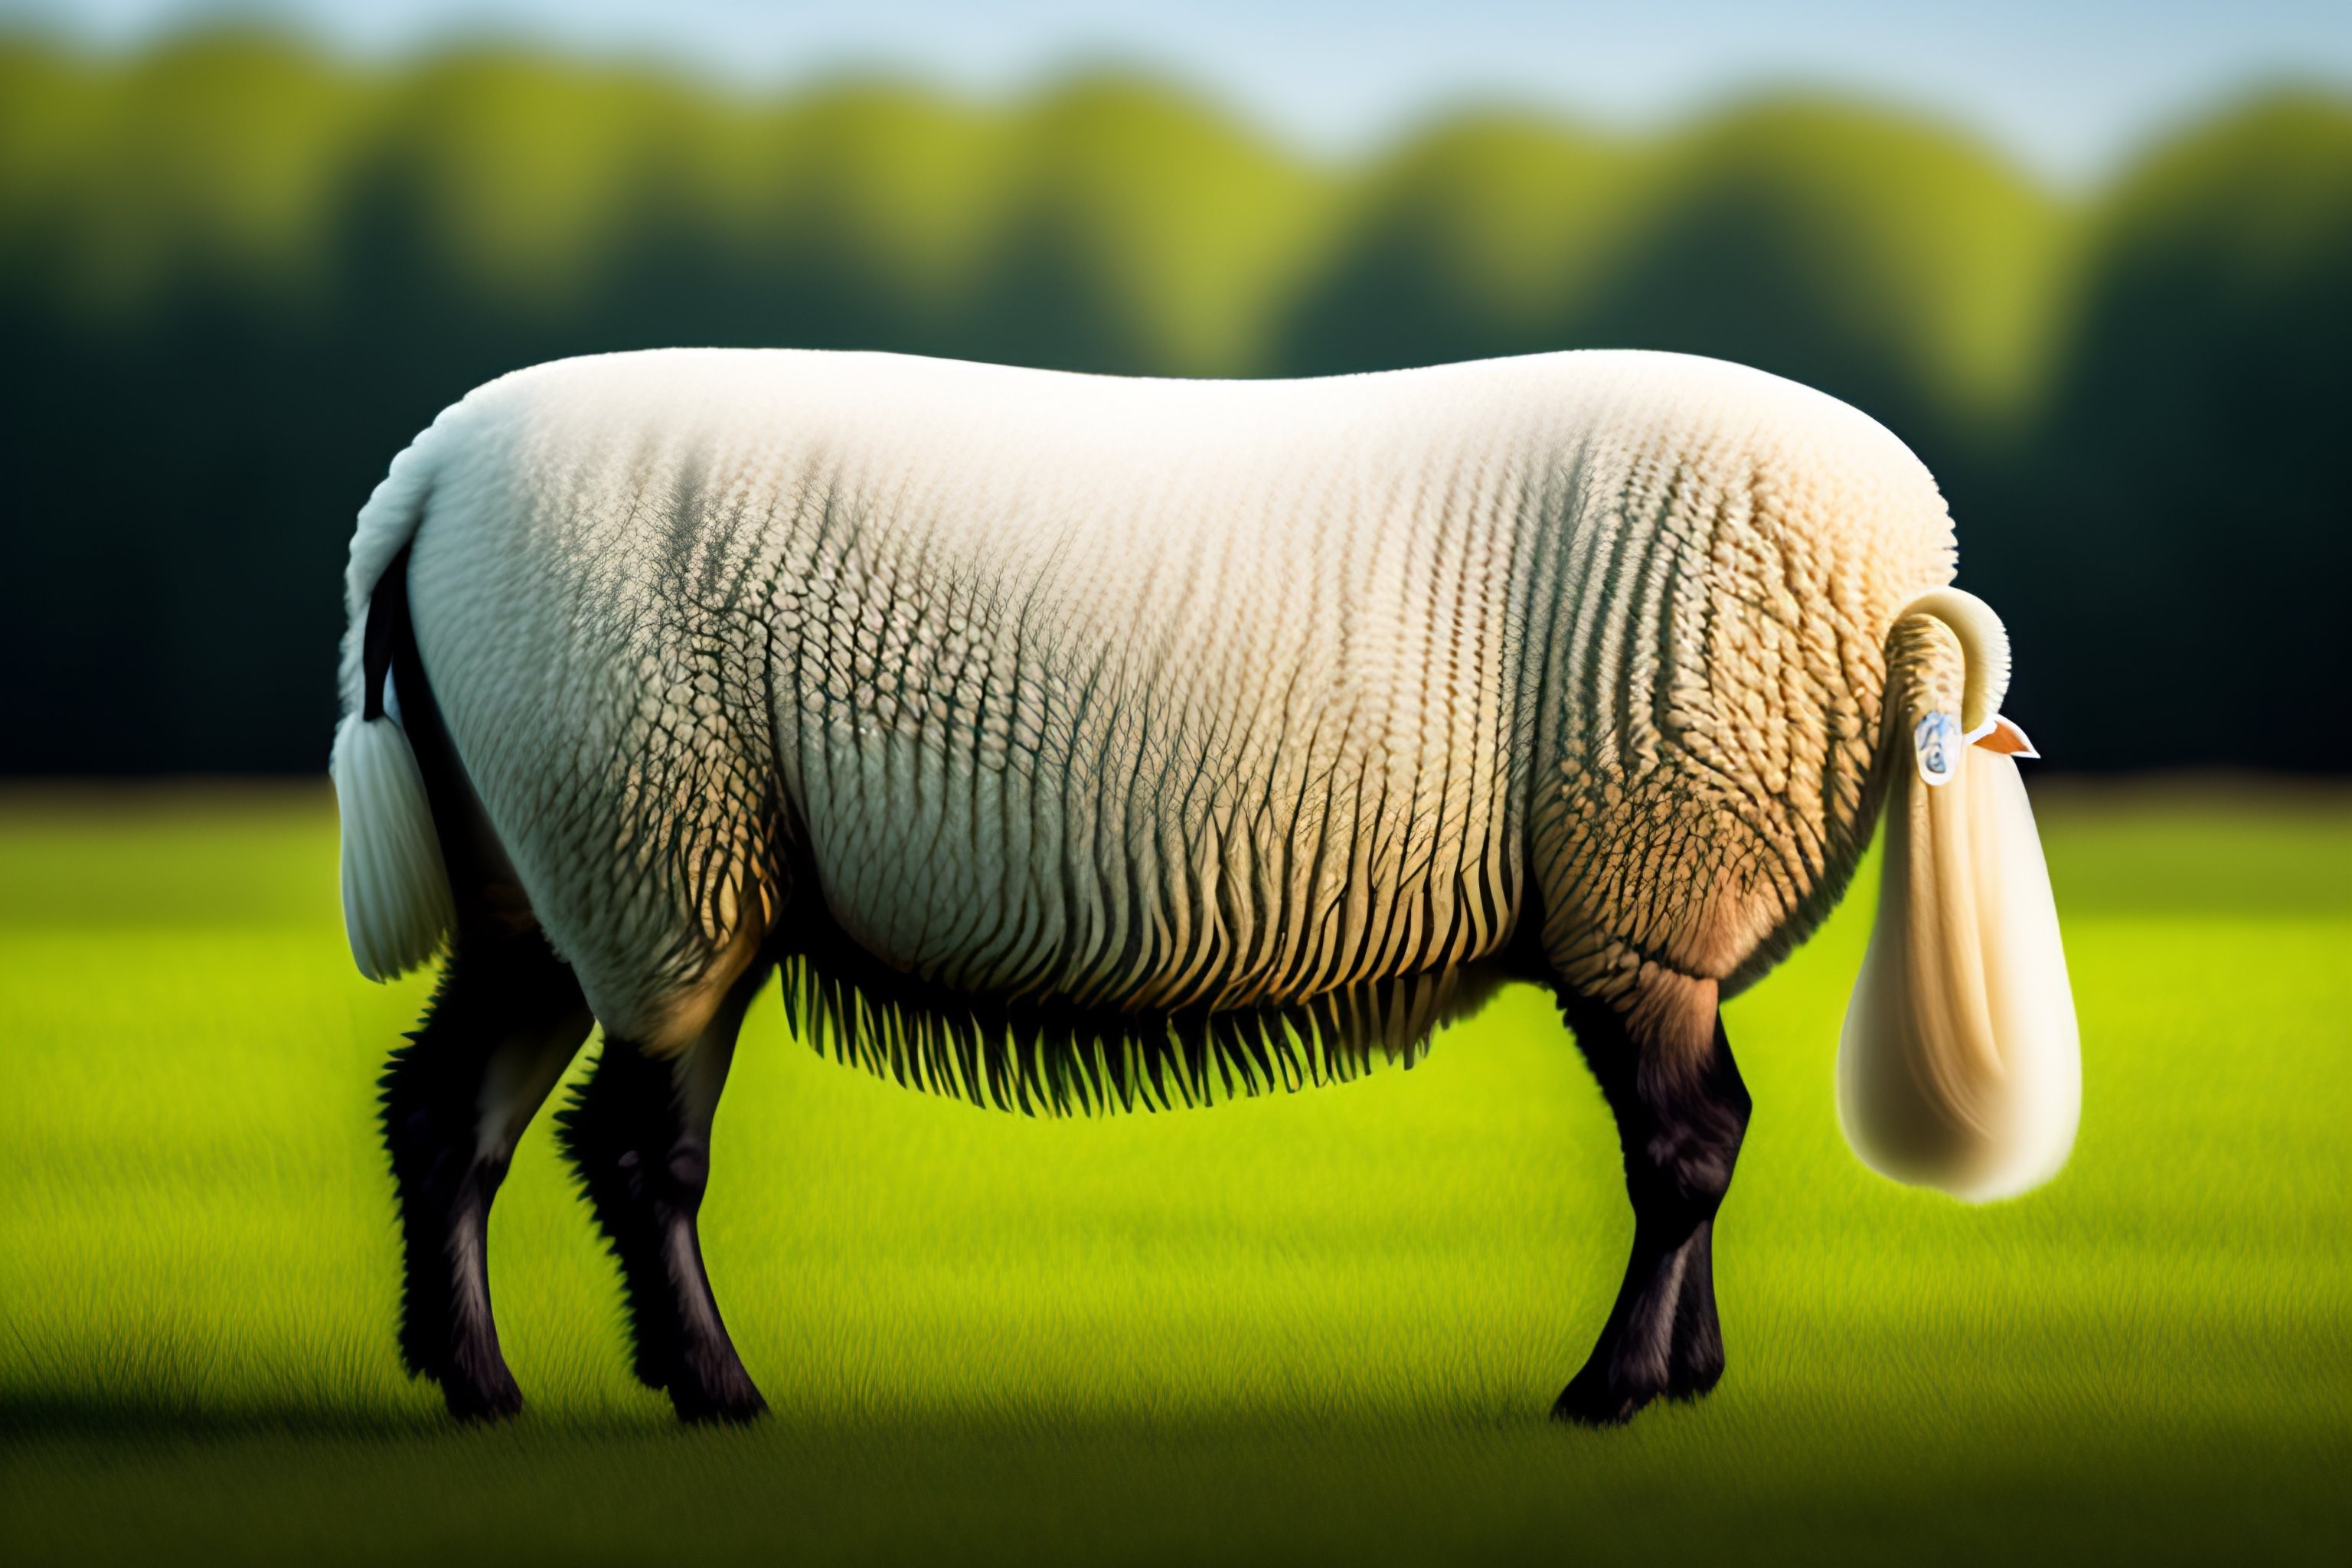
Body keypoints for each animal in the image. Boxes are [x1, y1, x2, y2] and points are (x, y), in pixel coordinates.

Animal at [331, 347, 2079, 1425]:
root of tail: (421, 481)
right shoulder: (1647, 907)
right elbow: (1690, 1150)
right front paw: (1632, 1392)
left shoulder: (1658, 923)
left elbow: (1693, 1148)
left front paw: (1687, 1375)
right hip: (656, 838)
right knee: (635, 1152)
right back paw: (712, 1393)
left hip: (549, 858)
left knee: (451, 1109)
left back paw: (472, 1382)